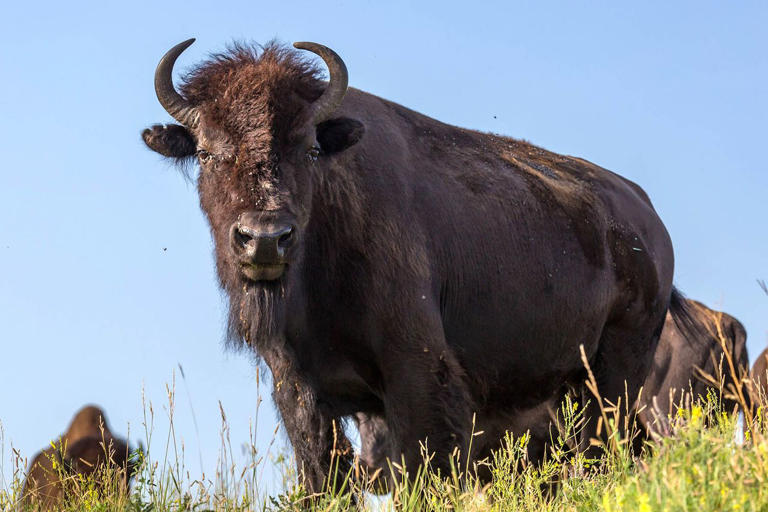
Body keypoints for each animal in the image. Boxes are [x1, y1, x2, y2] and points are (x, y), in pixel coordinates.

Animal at [143, 39, 684, 491]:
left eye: (311, 148)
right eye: (206, 152)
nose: (265, 239)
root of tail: (647, 221)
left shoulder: (416, 372)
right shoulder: (298, 388)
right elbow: (323, 471)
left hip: (613, 379)